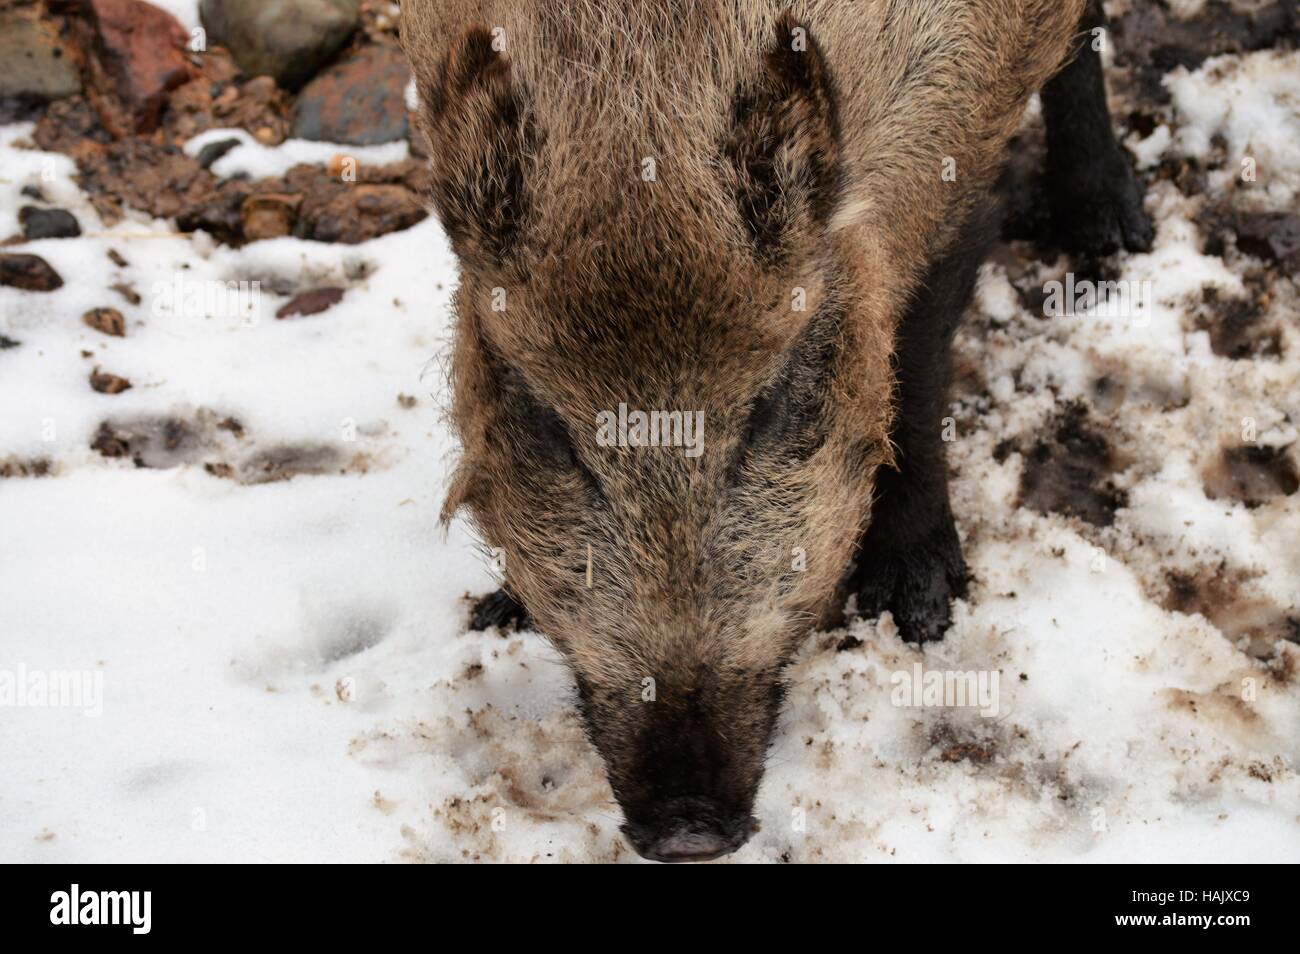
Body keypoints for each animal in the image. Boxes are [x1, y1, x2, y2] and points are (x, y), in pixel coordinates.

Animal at [401, 0, 1152, 861]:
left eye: (766, 407)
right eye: (552, 428)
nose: (687, 827)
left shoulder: (961, 144)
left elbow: (916, 355)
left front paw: (915, 614)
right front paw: (499, 613)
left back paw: (1113, 233)